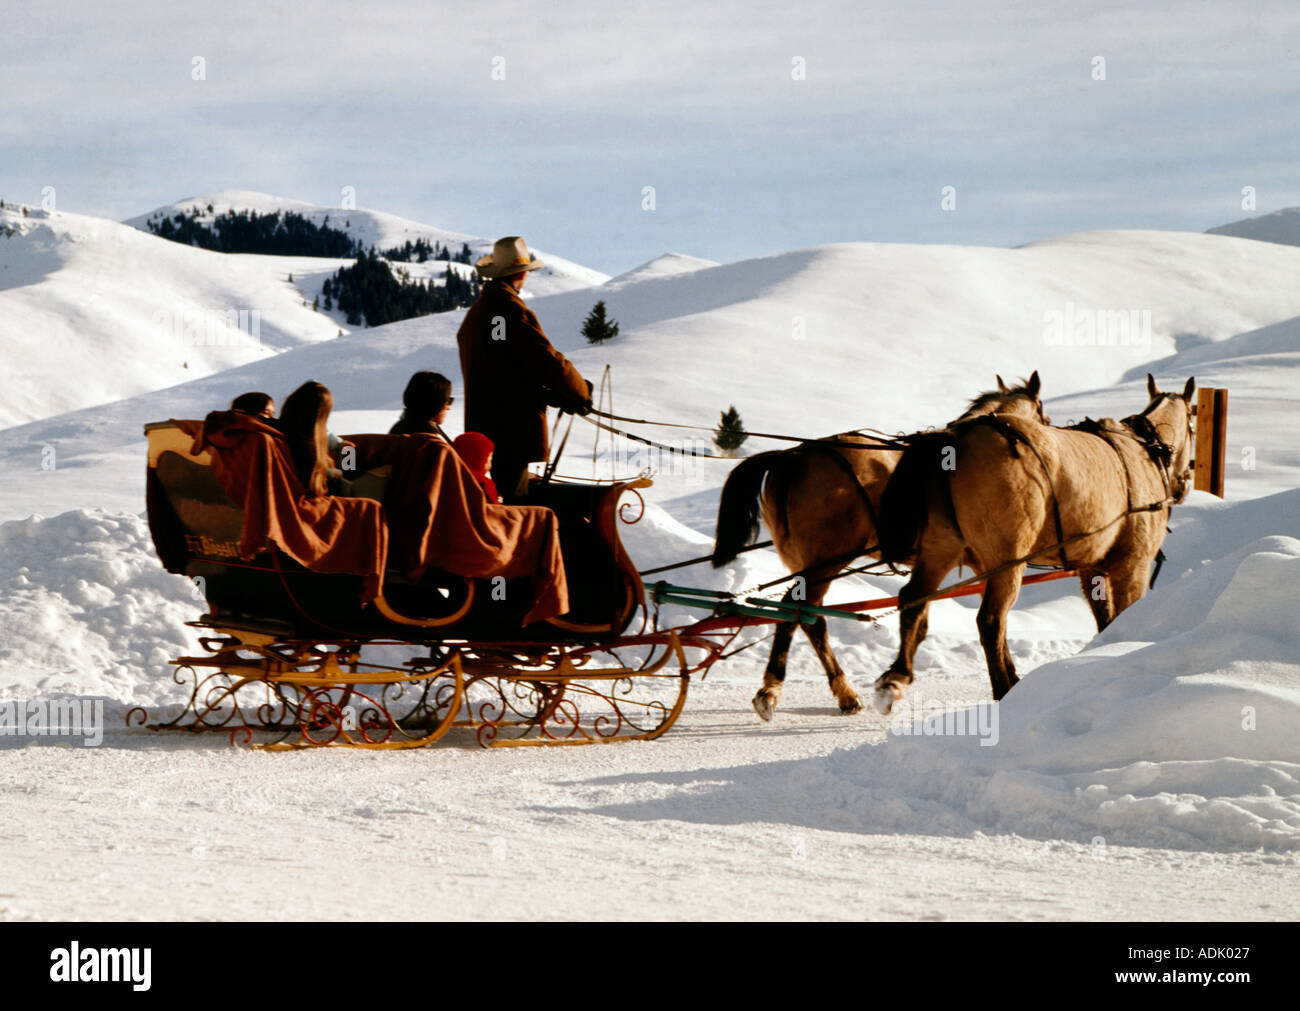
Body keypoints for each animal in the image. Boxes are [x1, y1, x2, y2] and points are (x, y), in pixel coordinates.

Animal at [710, 372, 1048, 721]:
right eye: (1045, 417)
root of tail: (790, 457)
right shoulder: (993, 561)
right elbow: (991, 619)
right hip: (827, 560)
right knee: (798, 610)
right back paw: (775, 688)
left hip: (811, 564)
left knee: (810, 618)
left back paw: (837, 692)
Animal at [873, 373, 1196, 712]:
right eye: (1193, 420)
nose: (1184, 483)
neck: (1143, 450)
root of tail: (955, 438)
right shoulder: (1132, 567)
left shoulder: (1090, 570)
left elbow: (1105, 620)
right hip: (1008, 562)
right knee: (990, 620)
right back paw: (1002, 690)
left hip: (941, 550)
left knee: (913, 600)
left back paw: (898, 676)